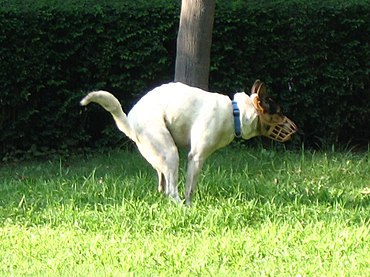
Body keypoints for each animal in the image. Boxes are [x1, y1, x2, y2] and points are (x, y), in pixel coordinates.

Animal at [81, 78, 298, 204]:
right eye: (279, 112)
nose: (295, 130)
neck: (235, 113)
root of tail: (130, 123)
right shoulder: (196, 157)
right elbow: (189, 189)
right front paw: (190, 206)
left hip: (162, 158)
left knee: (163, 186)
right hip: (171, 153)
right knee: (171, 191)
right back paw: (180, 207)